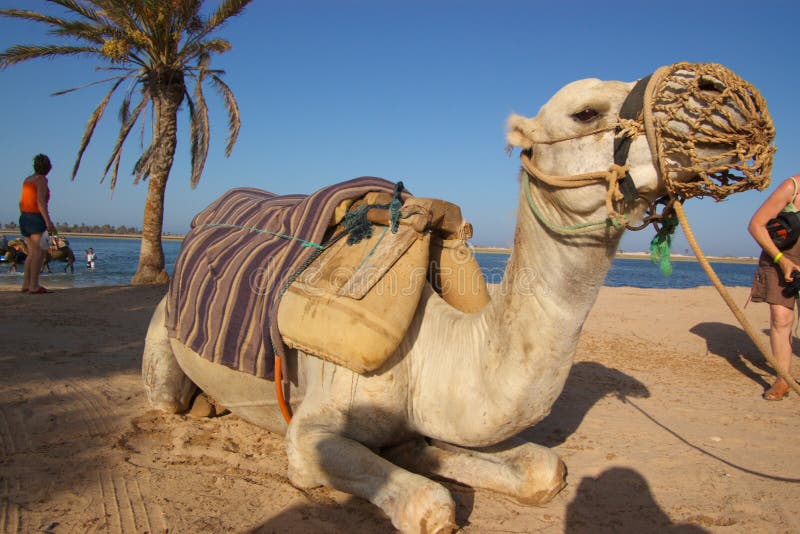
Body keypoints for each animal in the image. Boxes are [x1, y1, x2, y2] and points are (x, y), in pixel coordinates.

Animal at [142, 63, 773, 533]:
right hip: (163, 341)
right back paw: (200, 405)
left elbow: (541, 466)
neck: (431, 347)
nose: (718, 95)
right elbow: (432, 505)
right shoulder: (307, 436)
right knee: (166, 398)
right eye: (586, 112)